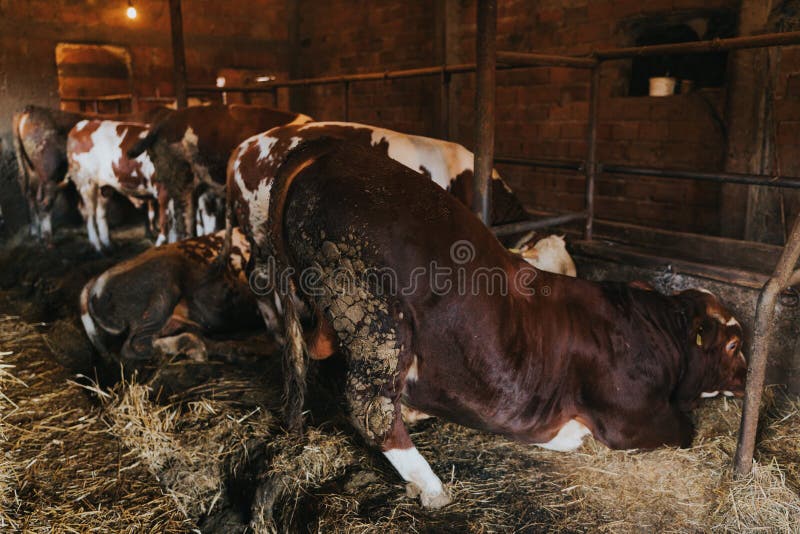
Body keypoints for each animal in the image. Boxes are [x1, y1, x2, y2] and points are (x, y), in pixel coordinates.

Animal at [66, 119, 167, 252]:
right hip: (86, 182)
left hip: (103, 187)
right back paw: (98, 247)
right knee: (89, 213)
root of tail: (81, 125)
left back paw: (108, 244)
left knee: (100, 213)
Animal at [240, 138, 747, 515]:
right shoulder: (631, 419)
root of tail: (327, 149)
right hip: (376, 318)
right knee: (370, 408)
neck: (654, 329)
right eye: (734, 344)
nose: (747, 376)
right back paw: (432, 487)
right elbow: (685, 430)